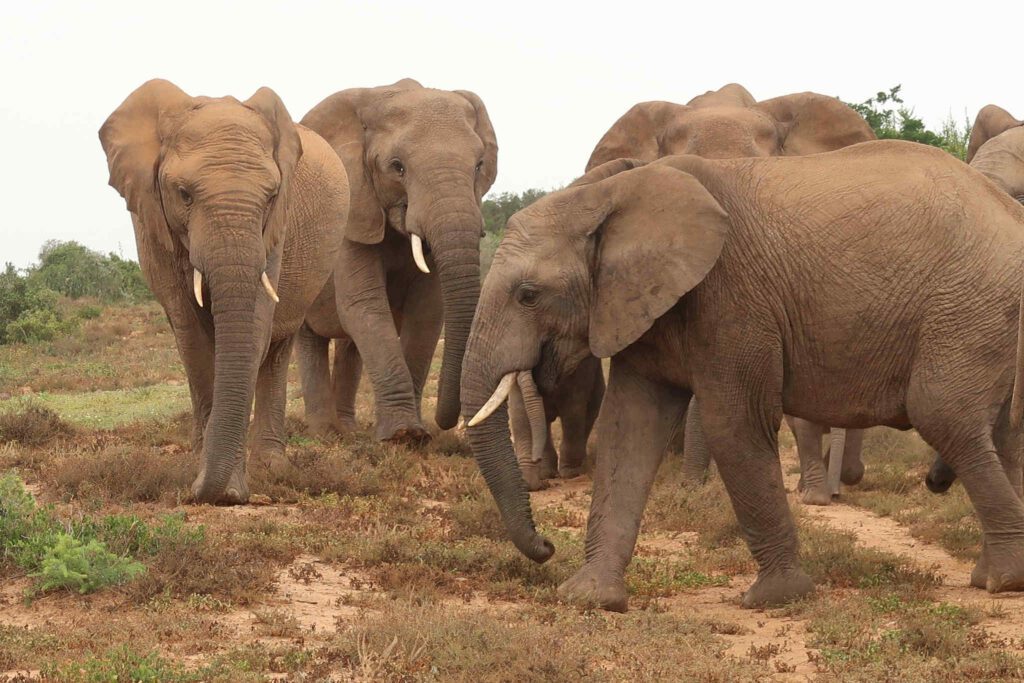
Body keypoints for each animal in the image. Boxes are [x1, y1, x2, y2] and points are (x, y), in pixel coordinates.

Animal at [99, 80, 349, 504]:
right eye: (183, 194)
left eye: (271, 196)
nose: (204, 493)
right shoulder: (152, 221)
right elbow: (192, 338)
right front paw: (202, 474)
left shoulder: (275, 230)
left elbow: (255, 329)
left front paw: (229, 487)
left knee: (278, 348)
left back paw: (272, 466)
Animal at [295, 79, 496, 441]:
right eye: (397, 167)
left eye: (479, 165)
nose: (448, 423)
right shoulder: (354, 208)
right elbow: (364, 304)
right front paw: (403, 435)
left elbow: (427, 311)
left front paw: (415, 437)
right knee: (309, 337)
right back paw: (324, 434)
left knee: (350, 345)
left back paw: (348, 431)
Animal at [461, 144, 1024, 613]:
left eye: (528, 294)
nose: (546, 545)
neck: (611, 192)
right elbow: (629, 429)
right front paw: (589, 600)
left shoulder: (731, 298)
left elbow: (732, 425)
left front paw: (776, 599)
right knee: (1002, 437)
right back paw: (992, 576)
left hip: (966, 304)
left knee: (945, 417)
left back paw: (1002, 582)